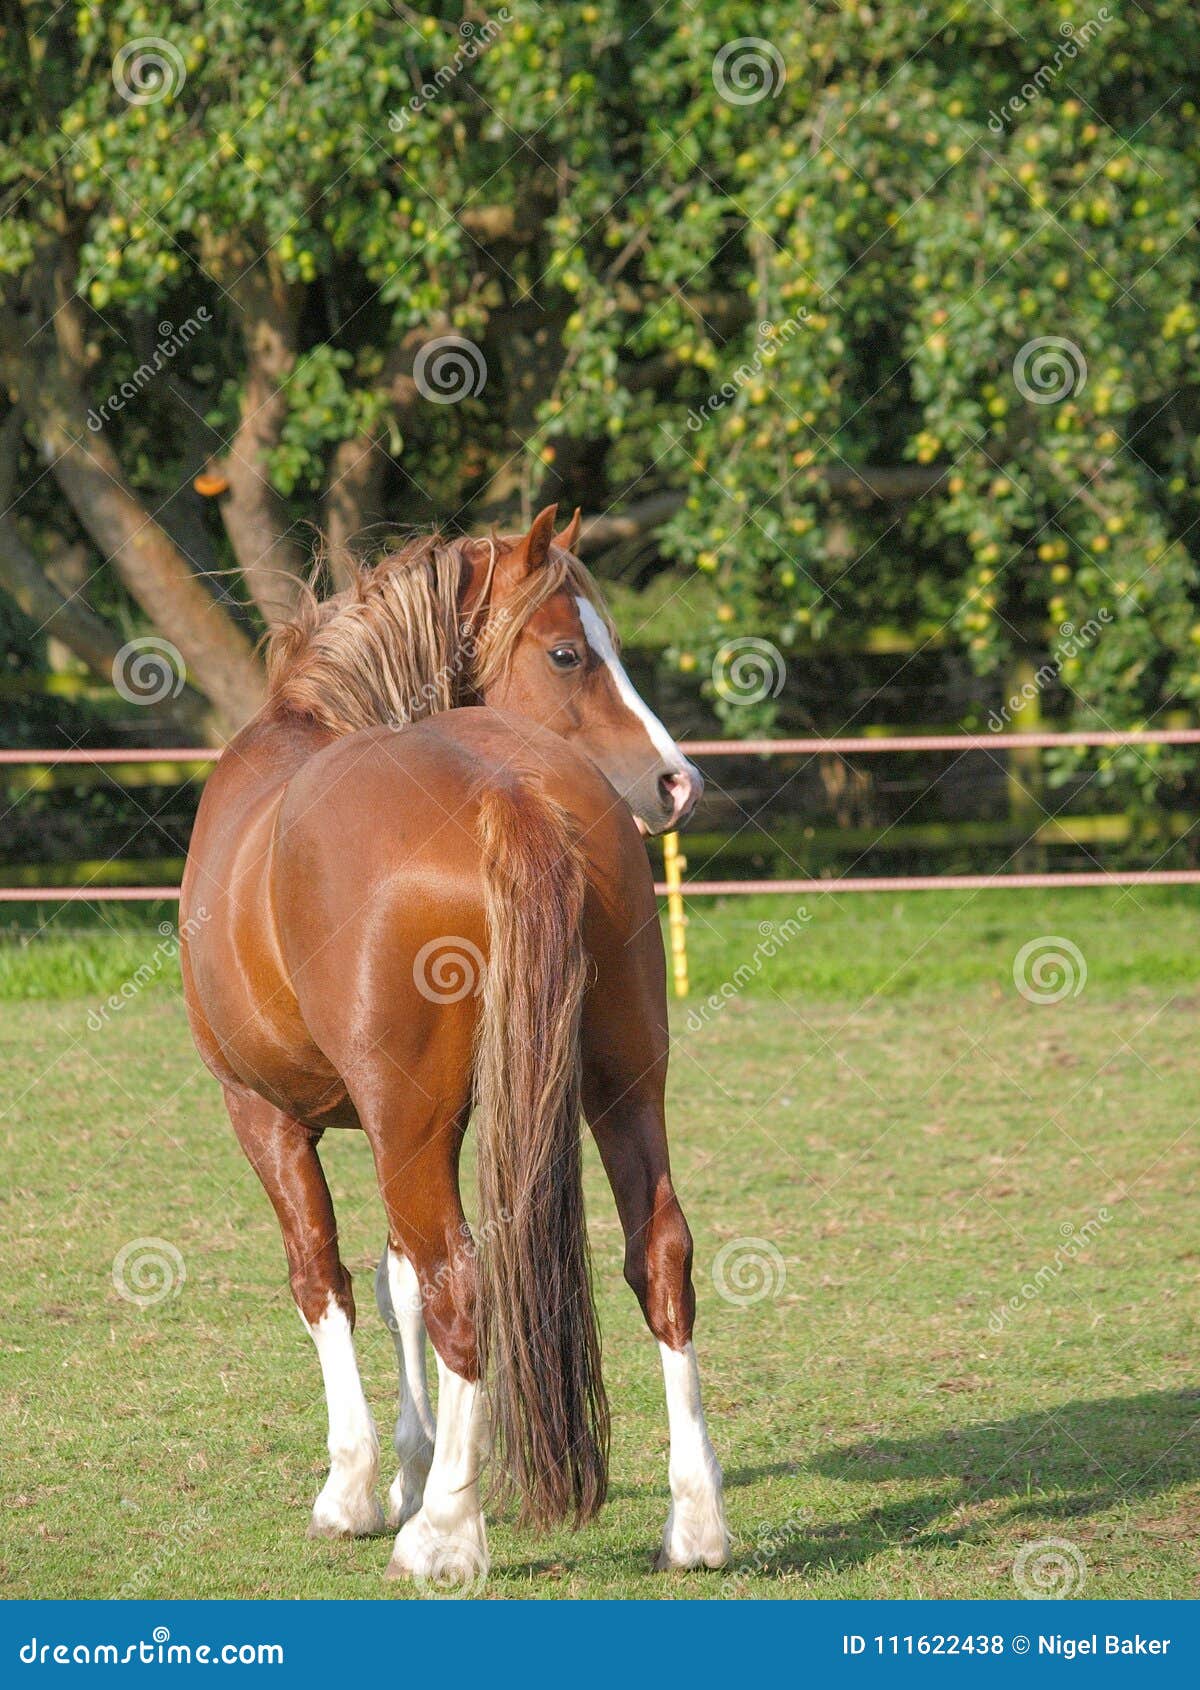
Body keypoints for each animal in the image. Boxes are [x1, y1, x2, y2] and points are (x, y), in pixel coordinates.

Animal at [179, 504, 730, 1585]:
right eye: (568, 651)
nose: (678, 782)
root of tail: (501, 791)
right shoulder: (425, 1122)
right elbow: (397, 1286)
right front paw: (410, 1464)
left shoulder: (267, 1114)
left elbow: (326, 1278)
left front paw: (360, 1489)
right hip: (618, 1087)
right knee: (660, 1255)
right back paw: (694, 1523)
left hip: (402, 1123)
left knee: (462, 1284)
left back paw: (445, 1535)